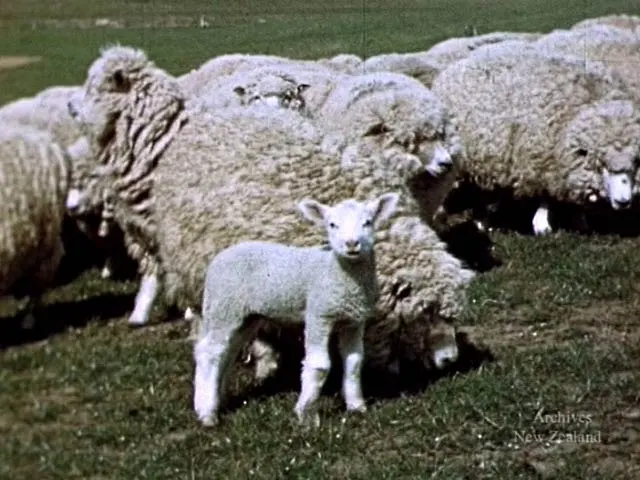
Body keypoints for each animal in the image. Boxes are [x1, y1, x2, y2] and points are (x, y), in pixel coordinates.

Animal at [193, 192, 399, 426]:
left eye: (368, 222)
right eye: (332, 224)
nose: (352, 243)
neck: (340, 274)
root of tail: (218, 259)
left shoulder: (353, 320)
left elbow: (355, 361)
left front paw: (356, 406)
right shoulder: (319, 313)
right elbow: (319, 365)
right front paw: (306, 414)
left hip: (244, 316)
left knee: (226, 352)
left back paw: (219, 402)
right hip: (224, 306)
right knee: (209, 353)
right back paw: (207, 413)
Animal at [431, 44, 640, 235]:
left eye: (636, 162)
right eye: (602, 164)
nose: (624, 202)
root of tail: (455, 67)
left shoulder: (561, 166)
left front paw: (579, 220)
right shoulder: (540, 160)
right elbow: (544, 197)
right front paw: (542, 225)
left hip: (485, 157)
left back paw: (482, 221)